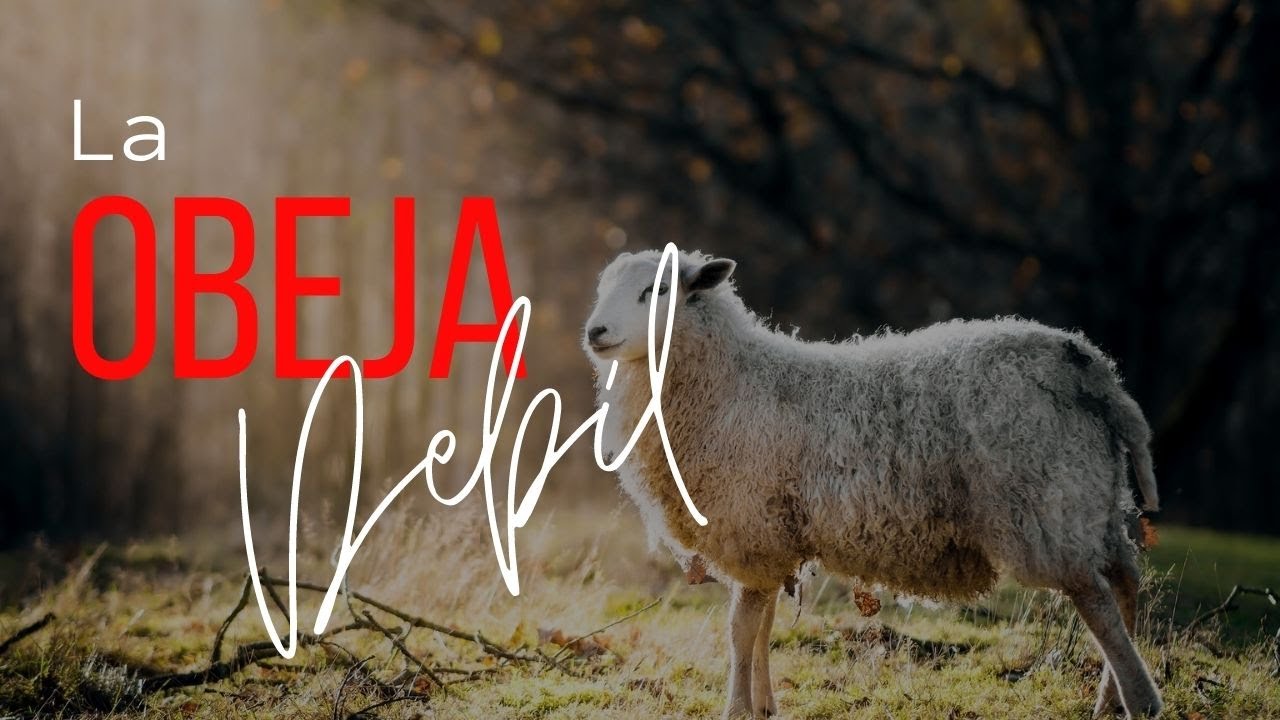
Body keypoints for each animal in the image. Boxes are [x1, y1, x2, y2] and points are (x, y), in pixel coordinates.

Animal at [582, 247, 1163, 719]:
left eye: (657, 290)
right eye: (603, 287)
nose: (595, 333)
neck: (729, 382)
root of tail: (1089, 366)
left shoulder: (752, 528)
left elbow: (740, 630)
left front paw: (736, 708)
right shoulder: (773, 538)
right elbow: (763, 623)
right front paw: (764, 705)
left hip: (1044, 502)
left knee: (1096, 600)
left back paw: (1140, 700)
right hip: (1089, 496)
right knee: (1124, 582)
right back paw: (1111, 700)